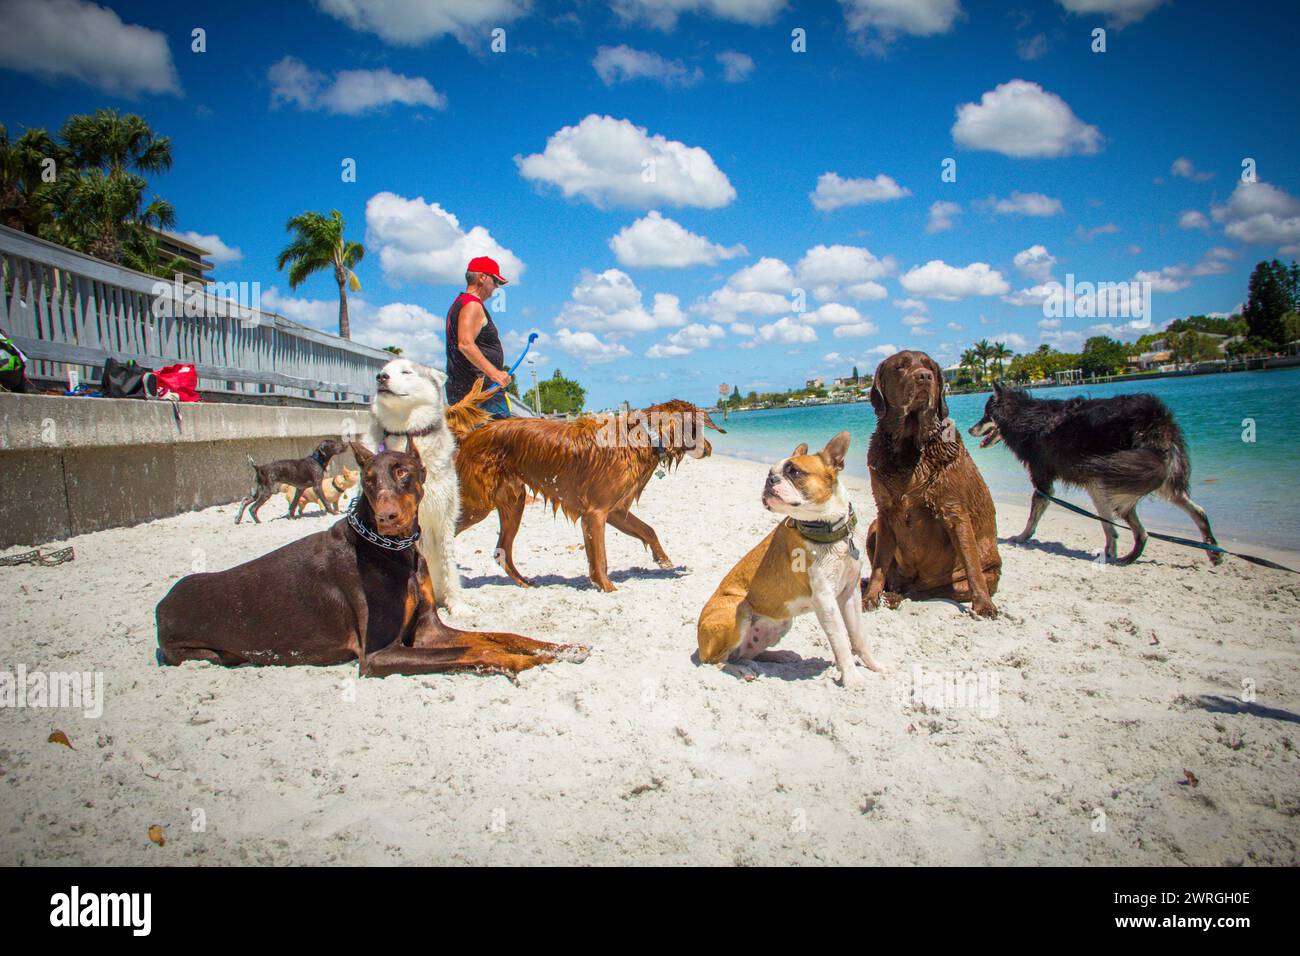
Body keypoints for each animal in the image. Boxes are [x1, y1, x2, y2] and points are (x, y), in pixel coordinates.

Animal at [157, 442, 590, 676]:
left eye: (403, 473)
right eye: (368, 481)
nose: (387, 517)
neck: (393, 552)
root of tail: (163, 602)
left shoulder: (429, 629)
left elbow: (504, 635)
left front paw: (559, 649)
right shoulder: (380, 653)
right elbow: (479, 650)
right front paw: (517, 663)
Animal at [366, 356, 467, 613]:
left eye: (406, 371)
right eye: (383, 370)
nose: (380, 377)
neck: (405, 432)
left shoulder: (444, 518)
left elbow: (449, 565)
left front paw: (457, 605)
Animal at [452, 392, 728, 595]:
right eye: (699, 429)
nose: (711, 449)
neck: (642, 439)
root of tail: (470, 435)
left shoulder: (615, 511)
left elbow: (648, 530)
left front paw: (662, 559)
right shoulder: (595, 514)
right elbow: (600, 557)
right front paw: (605, 586)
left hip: (513, 504)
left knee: (502, 551)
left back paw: (523, 582)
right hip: (477, 505)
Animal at [868, 353, 998, 621]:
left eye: (929, 366)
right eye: (901, 366)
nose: (924, 376)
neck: (909, 449)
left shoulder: (954, 512)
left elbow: (971, 564)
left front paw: (984, 605)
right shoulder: (884, 514)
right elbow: (878, 566)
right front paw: (869, 597)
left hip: (983, 575)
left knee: (928, 589)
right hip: (873, 528)